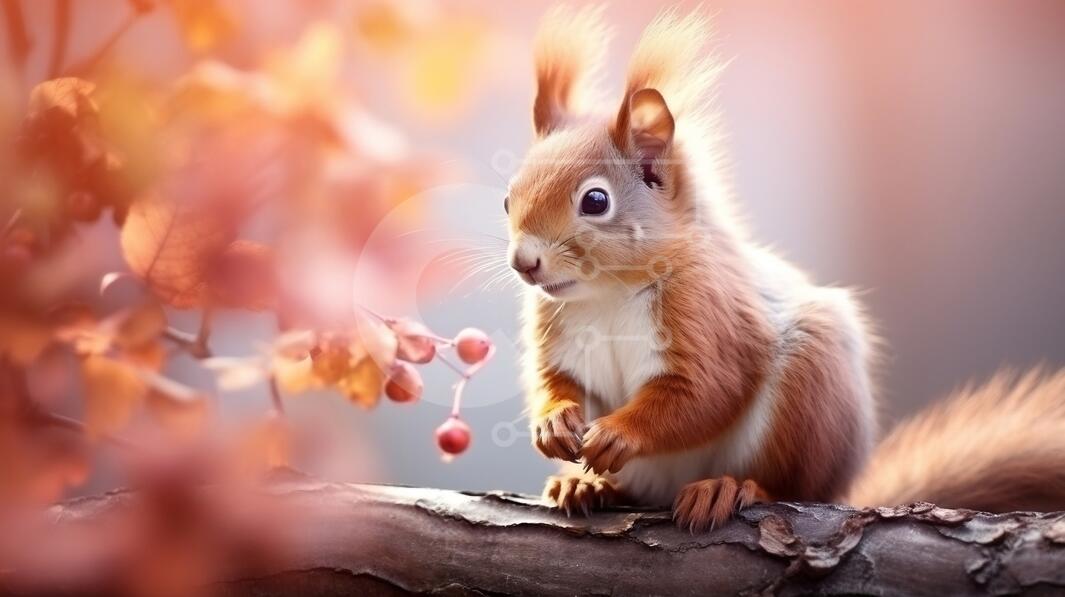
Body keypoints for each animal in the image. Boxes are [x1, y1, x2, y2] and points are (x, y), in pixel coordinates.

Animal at [503, 6, 1065, 532]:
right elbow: (554, 379)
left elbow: (702, 393)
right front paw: (553, 425)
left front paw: (621, 433)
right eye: (508, 198)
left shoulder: (709, 315)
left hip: (807, 400)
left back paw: (728, 488)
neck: (607, 293)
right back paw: (587, 485)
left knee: (786, 484)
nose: (524, 263)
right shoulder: (557, 330)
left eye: (595, 201)